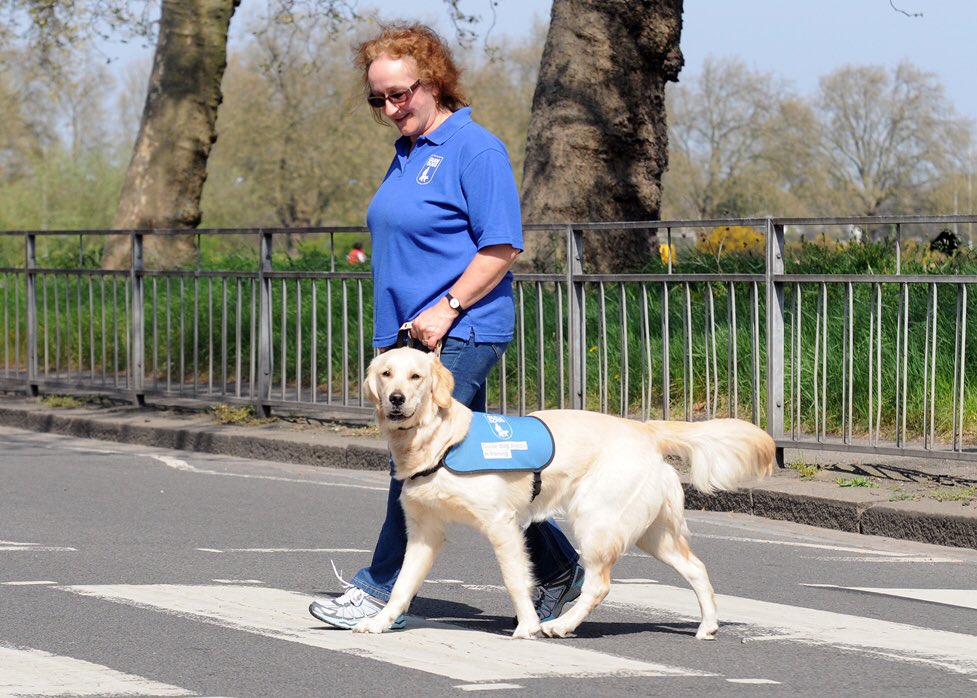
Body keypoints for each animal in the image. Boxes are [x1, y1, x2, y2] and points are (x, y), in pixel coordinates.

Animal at [354, 346, 772, 640]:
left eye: (416, 376)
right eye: (387, 373)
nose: (395, 398)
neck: (440, 445)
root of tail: (642, 429)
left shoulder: (501, 525)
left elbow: (514, 579)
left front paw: (527, 626)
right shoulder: (424, 531)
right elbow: (402, 584)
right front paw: (379, 621)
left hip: (597, 520)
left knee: (599, 584)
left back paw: (562, 625)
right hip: (652, 532)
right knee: (696, 568)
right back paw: (707, 626)